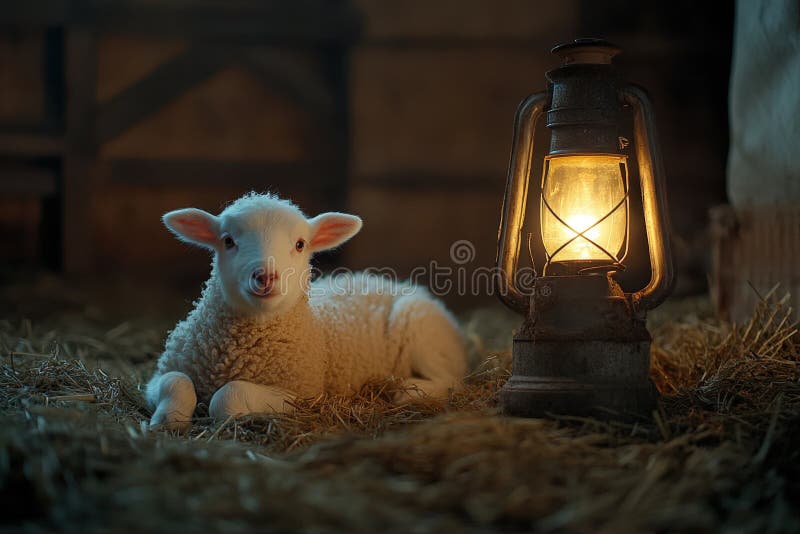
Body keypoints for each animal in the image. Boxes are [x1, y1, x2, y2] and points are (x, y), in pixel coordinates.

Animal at [146, 193, 467, 430]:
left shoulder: (301, 394)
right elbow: (176, 382)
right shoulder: (158, 375)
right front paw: (166, 420)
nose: (265, 276)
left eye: (300, 244)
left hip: (421, 332)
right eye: (228, 240)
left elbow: (228, 397)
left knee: (450, 380)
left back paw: (405, 390)